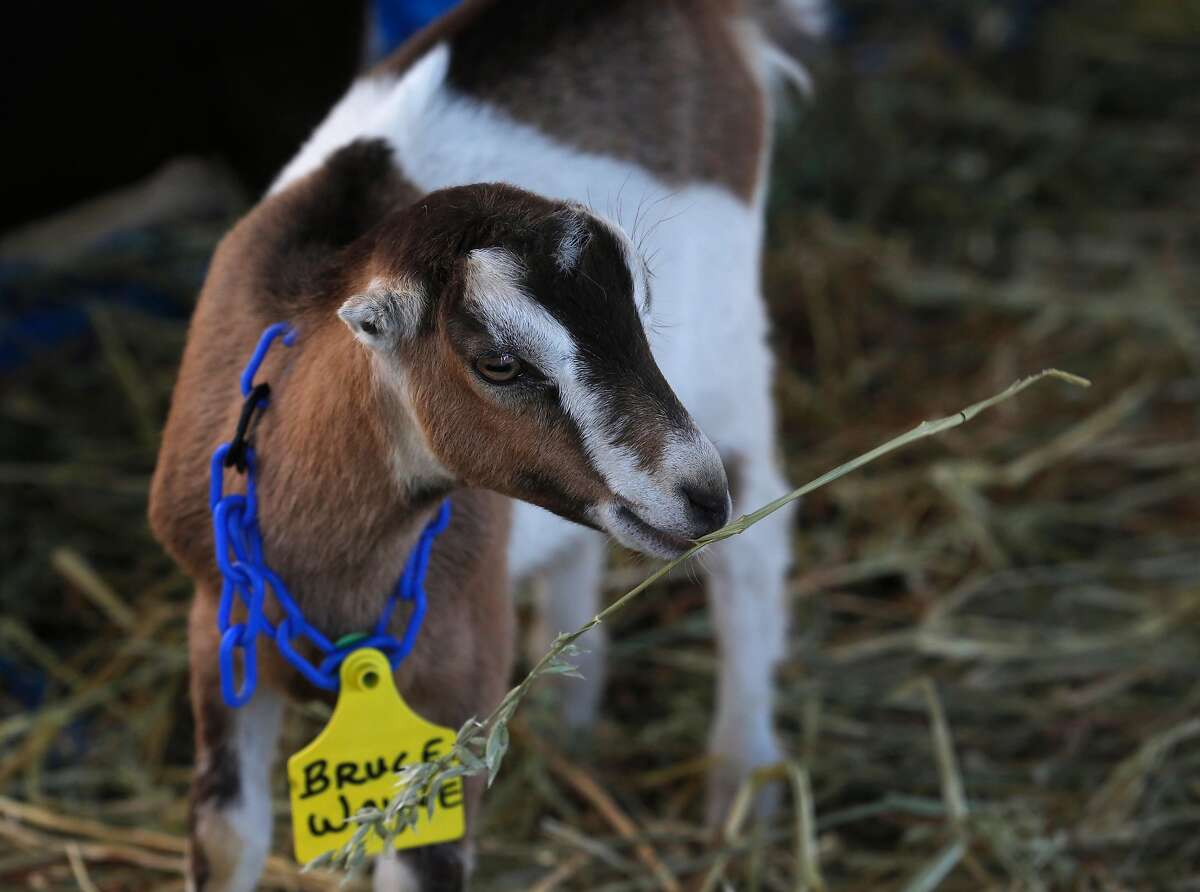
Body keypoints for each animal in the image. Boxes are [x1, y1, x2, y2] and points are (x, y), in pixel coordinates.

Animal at [149, 140, 731, 890]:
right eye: (499, 362)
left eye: (640, 312)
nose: (702, 495)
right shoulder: (219, 634)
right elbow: (226, 841)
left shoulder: (463, 666)